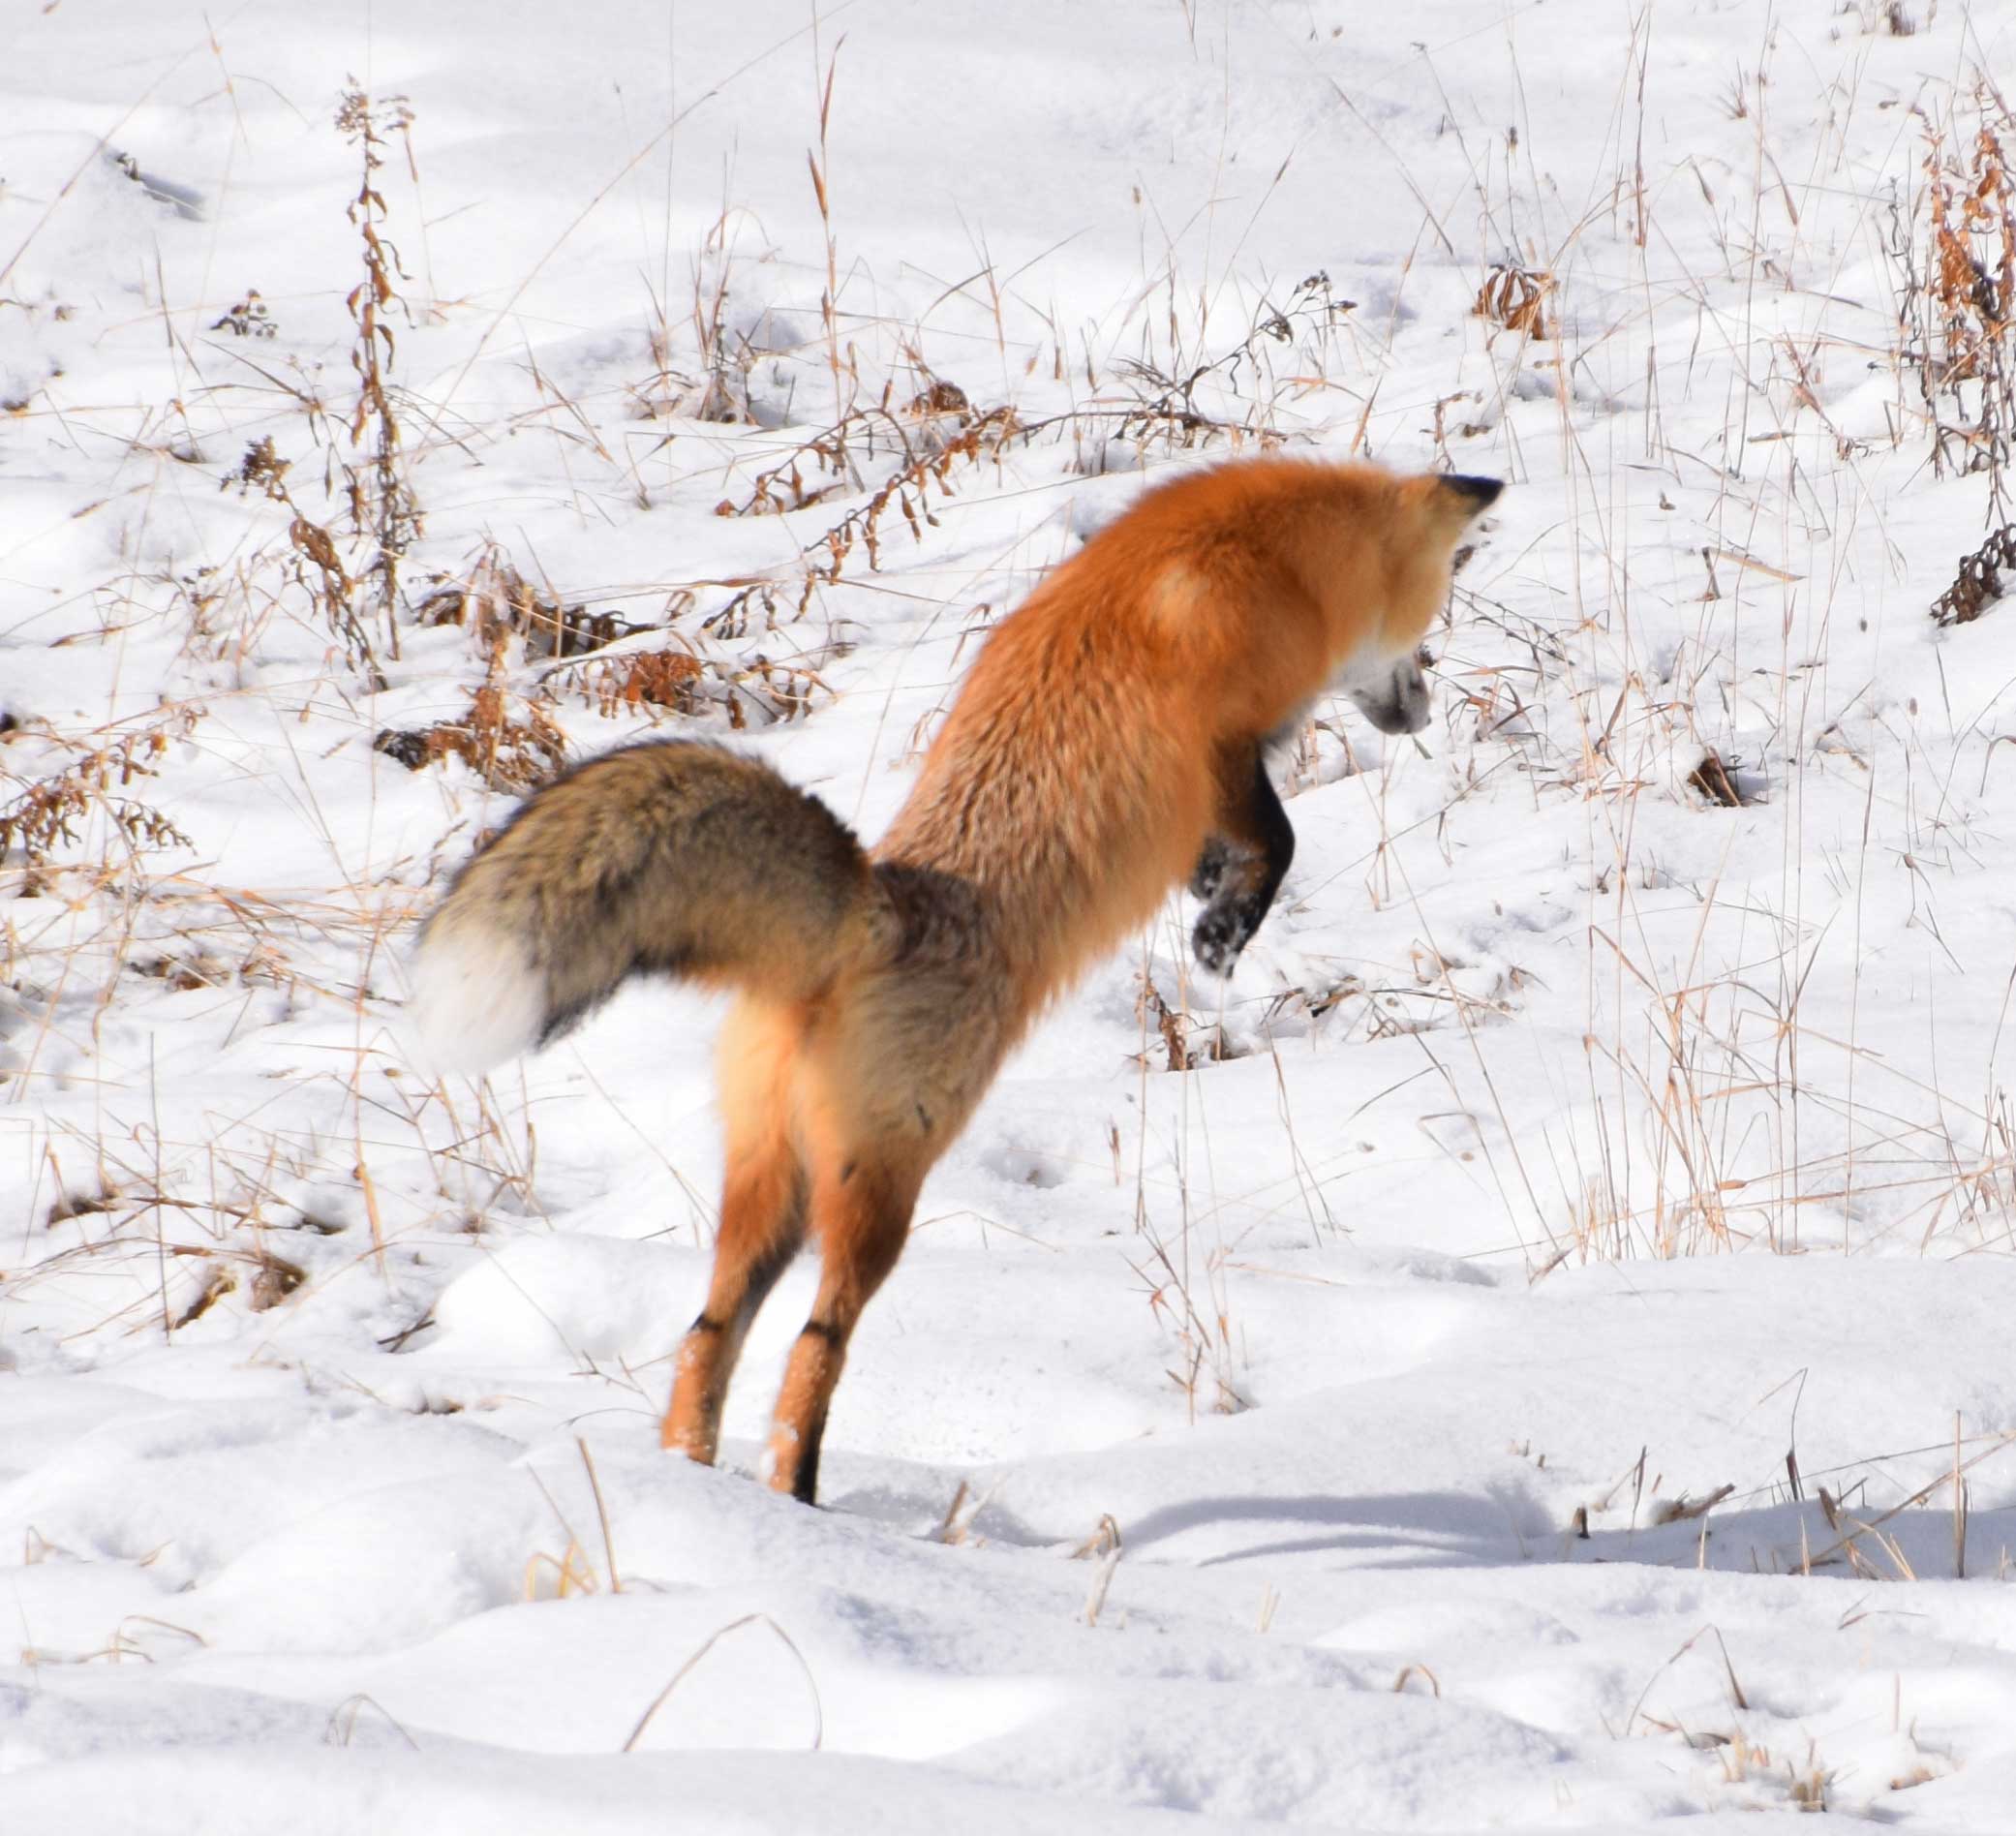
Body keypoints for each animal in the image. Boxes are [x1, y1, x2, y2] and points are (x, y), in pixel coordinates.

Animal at [411, 457, 1502, 1505]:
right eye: (1434, 618)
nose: (1428, 705)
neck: (1269, 552)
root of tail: (868, 909)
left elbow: (1231, 848)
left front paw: (1207, 894)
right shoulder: (1216, 744)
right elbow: (1278, 839)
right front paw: (1221, 936)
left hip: (770, 1188)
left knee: (707, 1335)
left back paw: (704, 1485)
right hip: (880, 1190)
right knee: (815, 1345)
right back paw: (798, 1496)